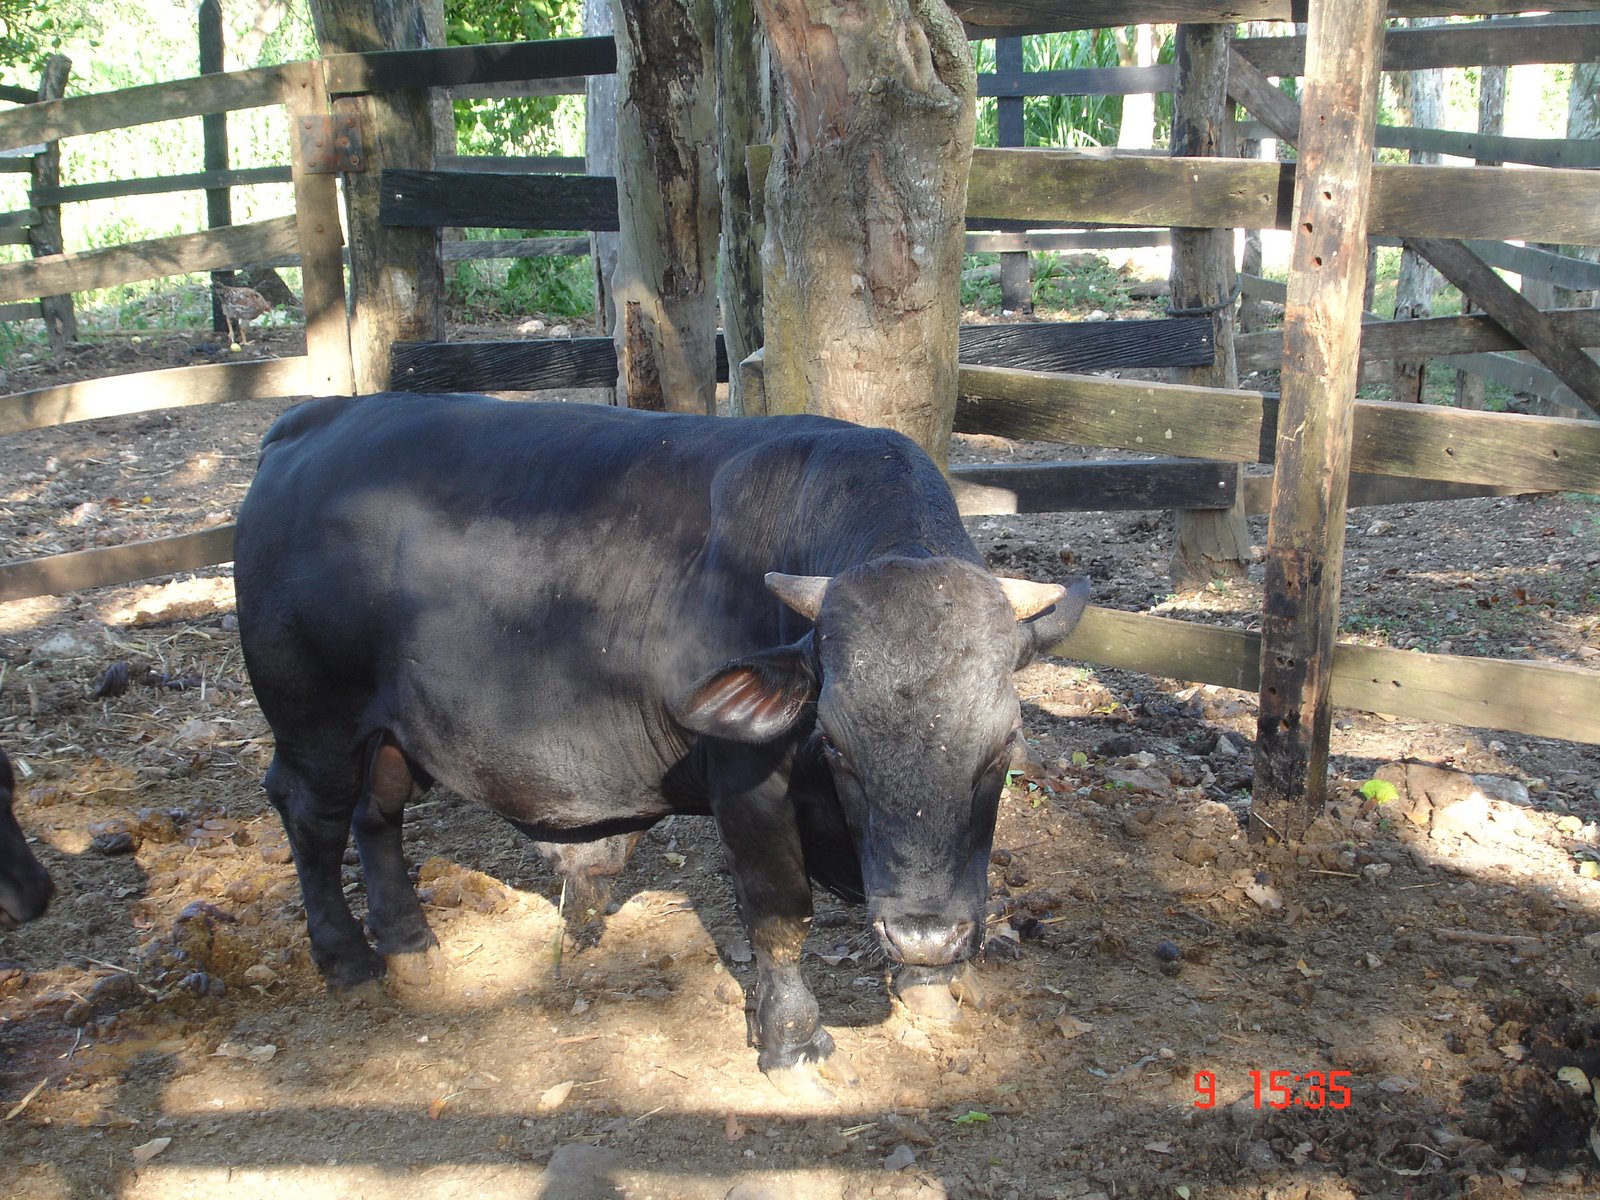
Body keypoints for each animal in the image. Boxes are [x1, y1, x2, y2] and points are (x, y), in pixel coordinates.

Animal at [233, 395, 1088, 1084]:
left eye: (1001, 748)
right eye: (836, 743)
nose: (922, 933)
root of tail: (312, 422)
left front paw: (927, 990)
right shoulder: (748, 782)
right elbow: (780, 916)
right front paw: (791, 1043)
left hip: (387, 733)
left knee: (377, 815)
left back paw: (410, 945)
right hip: (314, 723)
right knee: (311, 817)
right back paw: (348, 957)